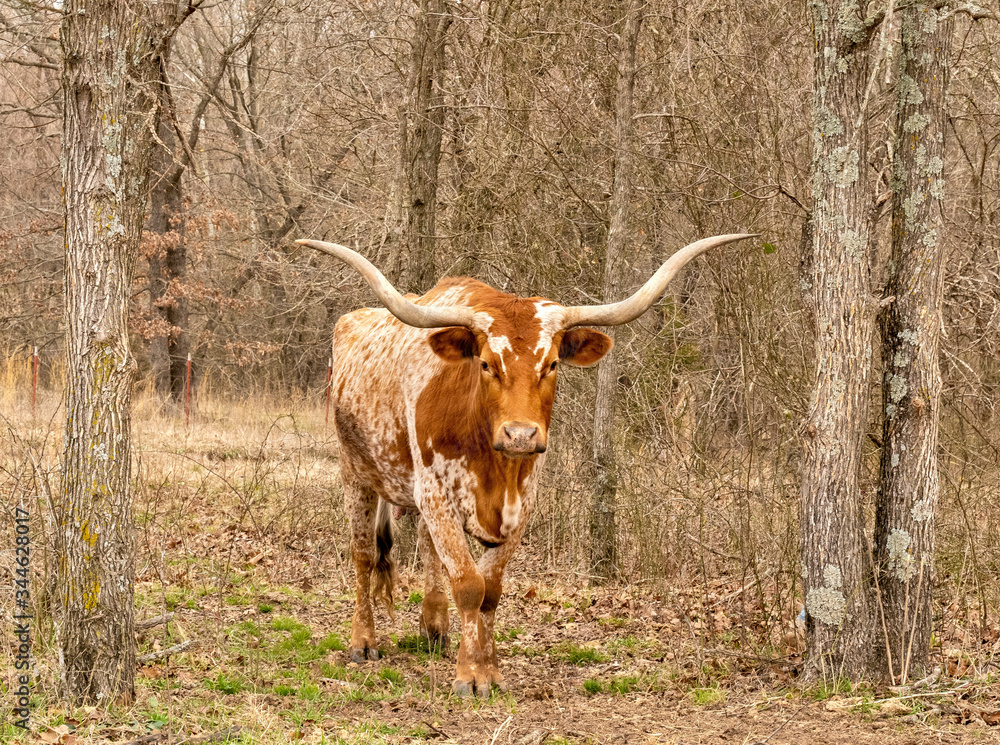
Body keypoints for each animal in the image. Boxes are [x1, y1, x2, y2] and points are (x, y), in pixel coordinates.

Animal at [296, 234, 753, 696]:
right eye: (485, 364)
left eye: (550, 364)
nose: (520, 435)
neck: (495, 466)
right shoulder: (437, 495)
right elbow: (469, 585)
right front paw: (469, 676)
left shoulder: (520, 505)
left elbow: (490, 590)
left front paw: (489, 669)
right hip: (355, 473)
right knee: (363, 555)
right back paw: (363, 641)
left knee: (426, 550)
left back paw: (434, 628)